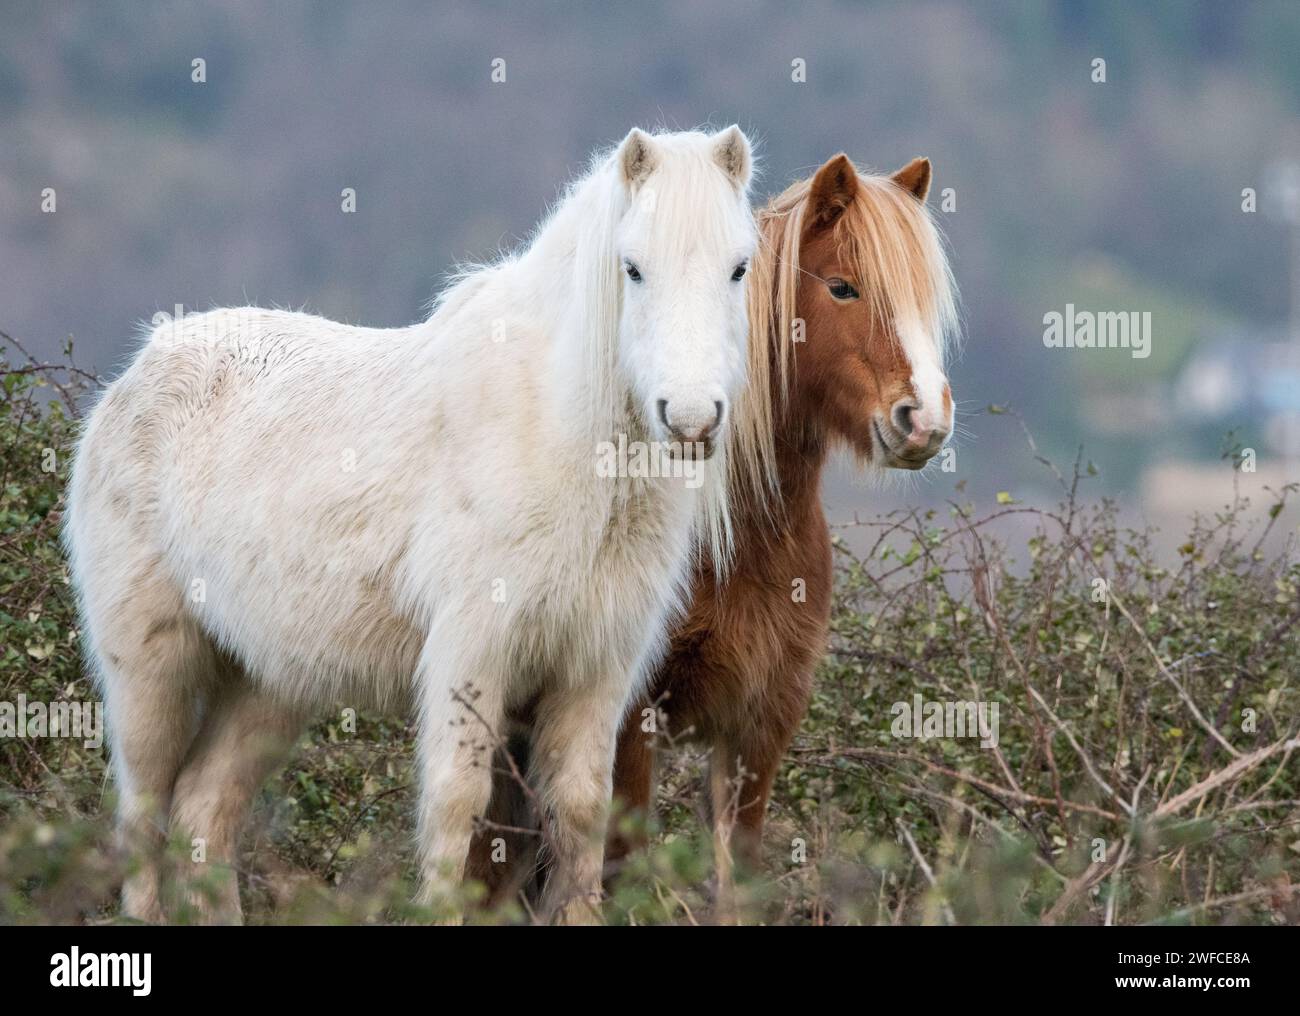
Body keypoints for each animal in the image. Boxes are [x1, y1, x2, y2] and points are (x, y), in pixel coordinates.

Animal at [63, 126, 761, 924]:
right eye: (634, 269)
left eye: (738, 267)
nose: (692, 418)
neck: (552, 427)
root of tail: (137, 373)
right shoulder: (470, 651)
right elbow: (456, 810)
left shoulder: (596, 672)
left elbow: (583, 817)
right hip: (151, 670)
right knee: (142, 820)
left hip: (271, 681)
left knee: (203, 810)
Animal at [469, 153, 958, 918]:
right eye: (842, 287)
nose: (924, 421)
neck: (740, 538)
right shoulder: (631, 719)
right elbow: (625, 869)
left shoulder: (759, 728)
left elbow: (738, 882)